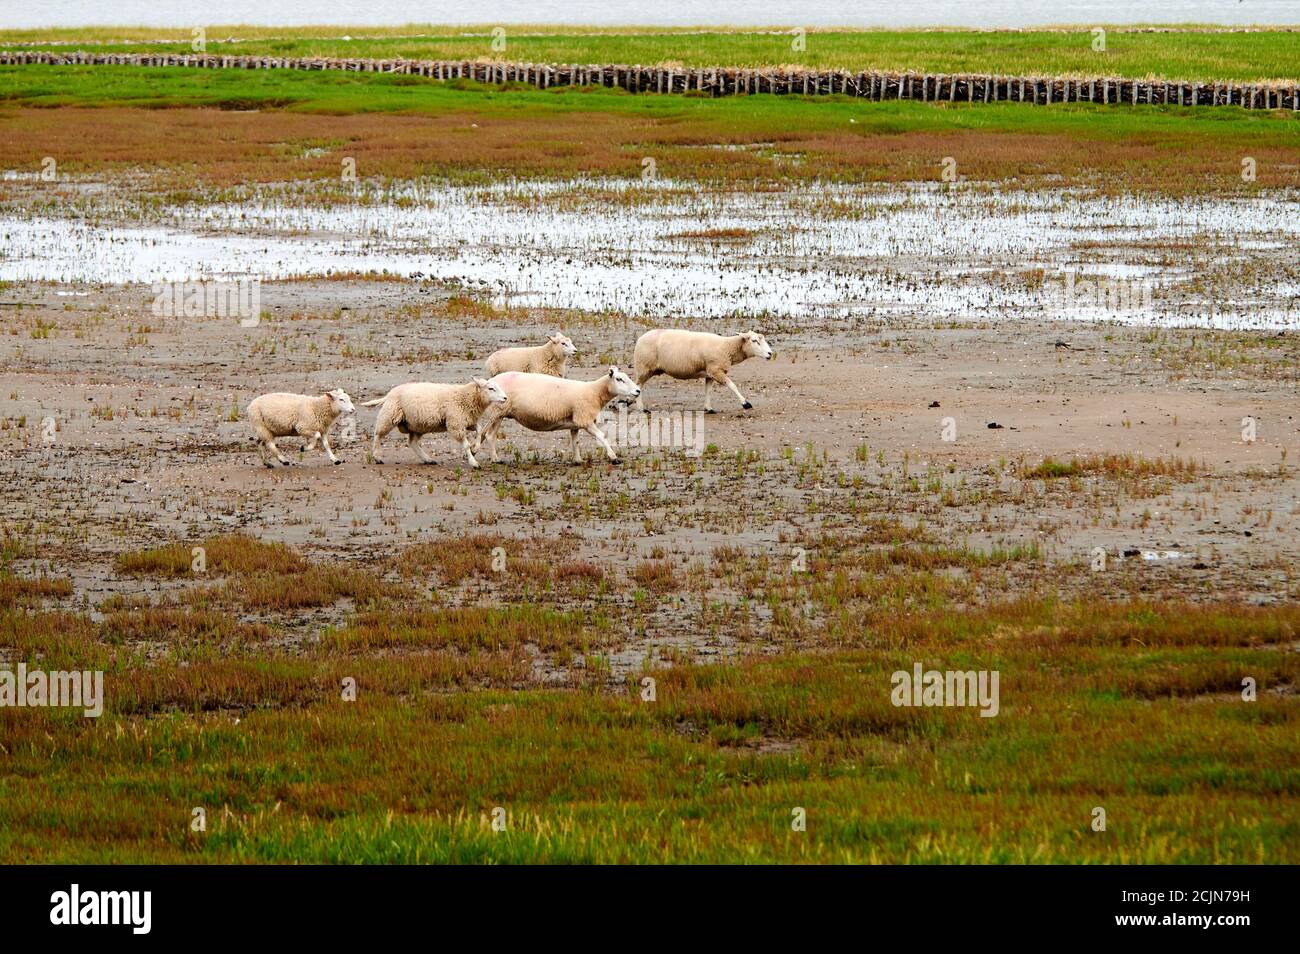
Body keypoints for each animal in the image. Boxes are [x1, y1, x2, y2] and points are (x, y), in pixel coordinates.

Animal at [362, 377, 507, 468]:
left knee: (412, 442)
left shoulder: (467, 420)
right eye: (491, 388)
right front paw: (474, 462)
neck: (465, 397)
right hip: (390, 415)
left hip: (417, 424)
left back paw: (428, 459)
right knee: (378, 435)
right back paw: (377, 456)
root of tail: (390, 393)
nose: (505, 398)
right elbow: (465, 445)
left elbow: (479, 430)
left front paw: (475, 447)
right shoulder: (456, 423)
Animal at [475, 367, 641, 465]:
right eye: (619, 379)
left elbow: (575, 442)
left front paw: (578, 460)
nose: (638, 391)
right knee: (490, 435)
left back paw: (478, 452)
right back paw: (495, 459)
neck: (594, 392)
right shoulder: (585, 419)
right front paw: (614, 457)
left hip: (500, 413)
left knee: (487, 434)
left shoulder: (576, 423)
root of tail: (491, 380)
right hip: (498, 411)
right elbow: (602, 436)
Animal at [632, 329, 773, 413]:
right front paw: (745, 403)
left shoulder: (710, 373)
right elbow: (732, 385)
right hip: (644, 367)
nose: (770, 353)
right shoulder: (716, 370)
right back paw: (641, 408)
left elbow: (708, 390)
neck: (727, 347)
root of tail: (640, 339)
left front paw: (708, 408)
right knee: (638, 386)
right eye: (754, 341)